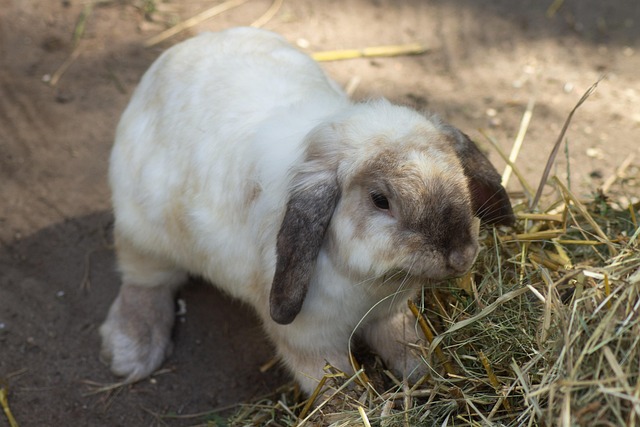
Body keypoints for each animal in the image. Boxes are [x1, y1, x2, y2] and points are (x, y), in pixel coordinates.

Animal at [99, 26, 514, 395]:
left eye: (459, 174)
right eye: (380, 200)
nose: (459, 255)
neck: (368, 284)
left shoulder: (388, 314)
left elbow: (407, 345)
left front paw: (430, 378)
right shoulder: (309, 342)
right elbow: (339, 392)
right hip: (144, 233)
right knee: (144, 280)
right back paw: (133, 352)